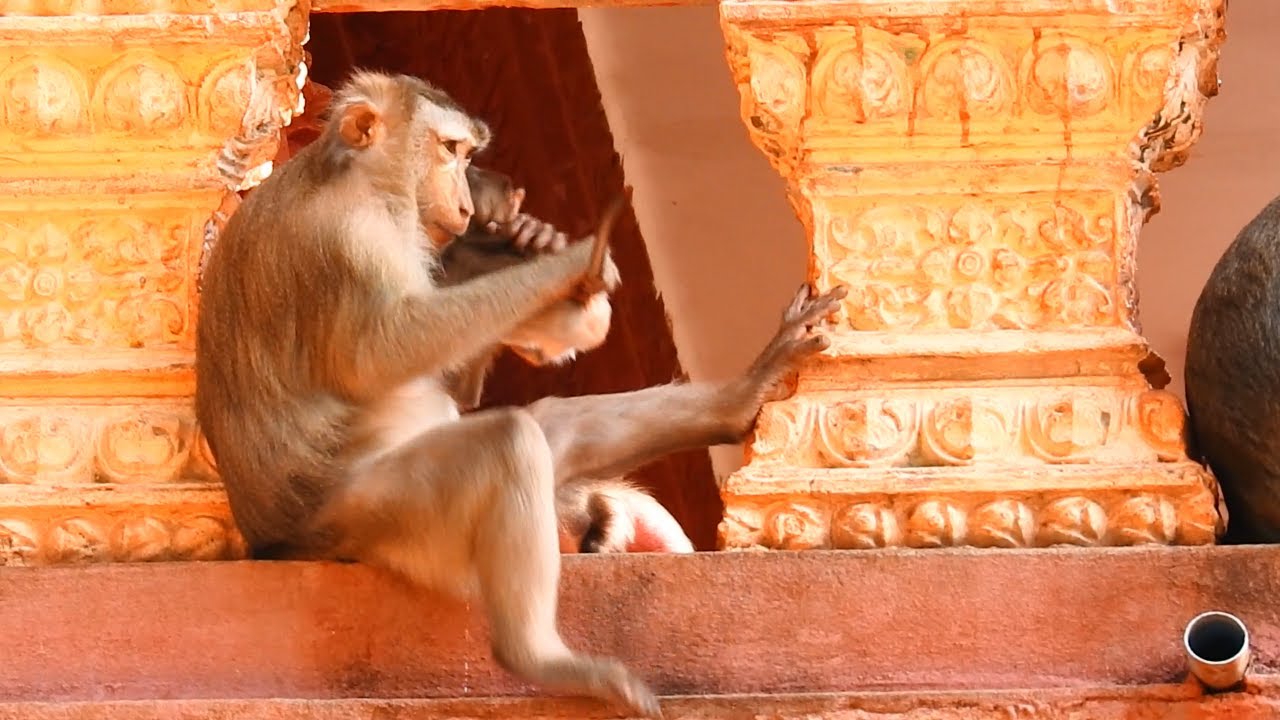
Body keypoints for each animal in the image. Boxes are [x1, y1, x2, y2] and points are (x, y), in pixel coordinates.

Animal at [195, 70, 846, 718]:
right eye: (452, 150)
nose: (465, 200)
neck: (357, 179)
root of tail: (282, 544)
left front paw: (547, 271)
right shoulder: (349, 233)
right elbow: (384, 348)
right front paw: (570, 264)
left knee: (549, 427)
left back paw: (739, 399)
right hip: (374, 522)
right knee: (504, 443)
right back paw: (536, 657)